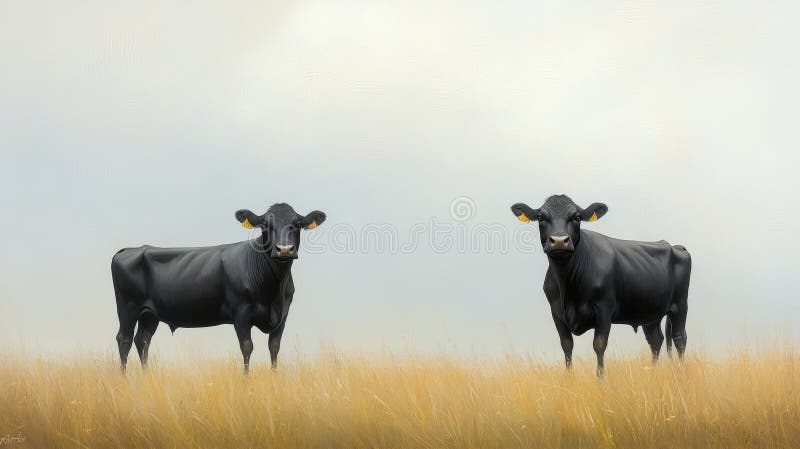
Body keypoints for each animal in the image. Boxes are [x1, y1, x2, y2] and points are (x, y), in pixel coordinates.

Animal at [111, 203, 326, 374]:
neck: (274, 293)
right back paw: (125, 379)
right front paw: (245, 381)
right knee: (124, 339)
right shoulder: (241, 311)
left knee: (143, 340)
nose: (284, 250)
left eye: (297, 224)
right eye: (265, 225)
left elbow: (274, 347)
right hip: (127, 306)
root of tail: (130, 249)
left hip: (150, 314)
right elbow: (247, 347)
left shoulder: (283, 314)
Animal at [511, 195, 691, 377]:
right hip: (650, 312)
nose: (559, 241)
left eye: (577, 218)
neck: (568, 288)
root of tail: (675, 246)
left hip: (680, 305)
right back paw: (653, 372)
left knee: (679, 338)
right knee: (655, 340)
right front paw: (569, 377)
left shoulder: (604, 308)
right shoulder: (556, 313)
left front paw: (601, 377)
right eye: (541, 217)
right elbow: (566, 345)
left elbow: (599, 344)